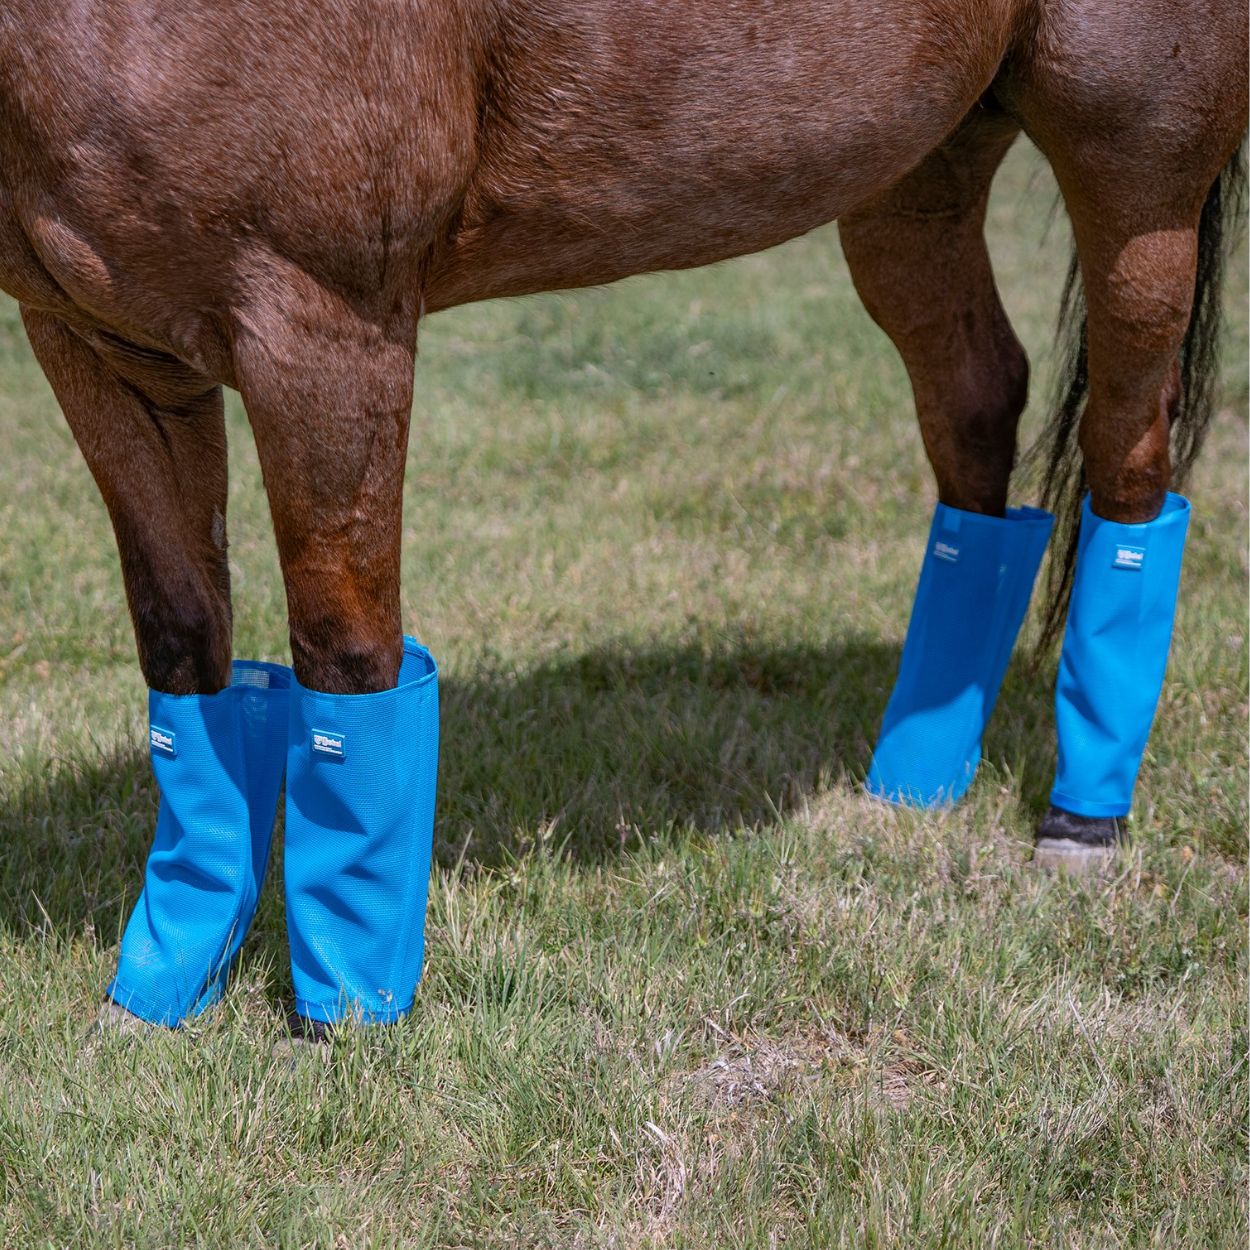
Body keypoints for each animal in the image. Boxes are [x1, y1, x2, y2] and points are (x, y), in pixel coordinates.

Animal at [0, 0, 1244, 1033]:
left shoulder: (323, 327)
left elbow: (345, 654)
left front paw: (347, 1008)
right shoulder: (99, 343)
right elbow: (183, 643)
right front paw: (161, 988)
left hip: (1132, 159)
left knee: (1127, 458)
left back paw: (1080, 825)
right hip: (918, 165)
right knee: (978, 415)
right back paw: (914, 779)